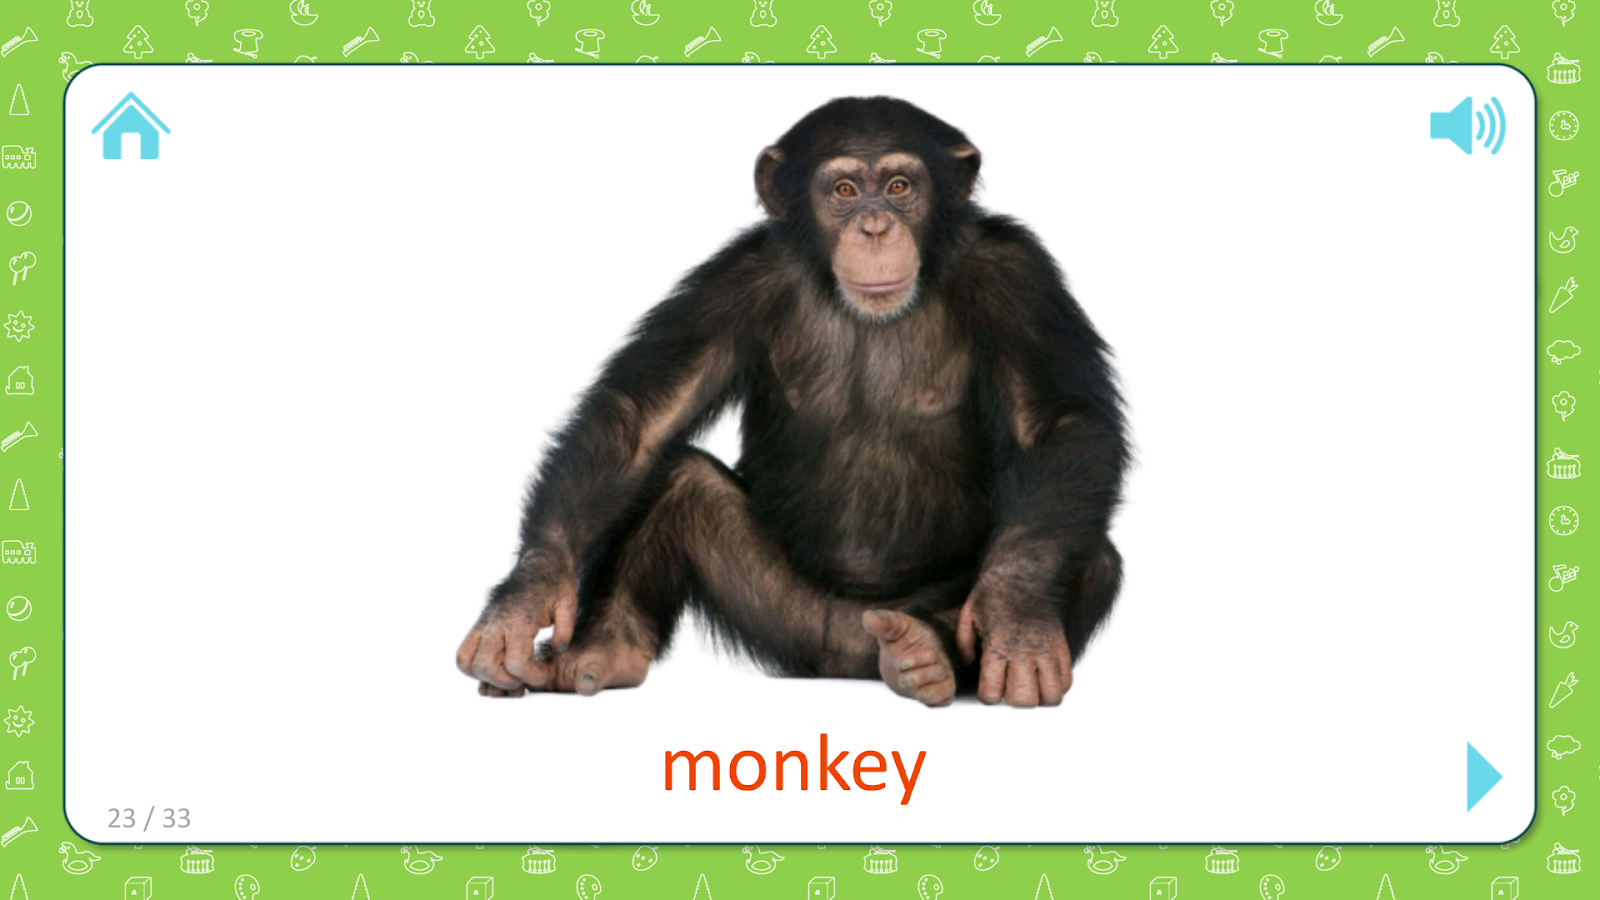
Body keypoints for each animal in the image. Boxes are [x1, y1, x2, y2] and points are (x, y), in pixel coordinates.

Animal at [456, 96, 1127, 708]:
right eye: (845, 189)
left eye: (901, 186)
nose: (875, 226)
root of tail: (848, 654)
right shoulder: (735, 281)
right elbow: (641, 417)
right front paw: (526, 596)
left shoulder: (1016, 274)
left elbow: (1056, 423)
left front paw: (1018, 615)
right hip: (787, 619)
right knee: (678, 483)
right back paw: (605, 649)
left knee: (1091, 555)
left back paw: (928, 655)